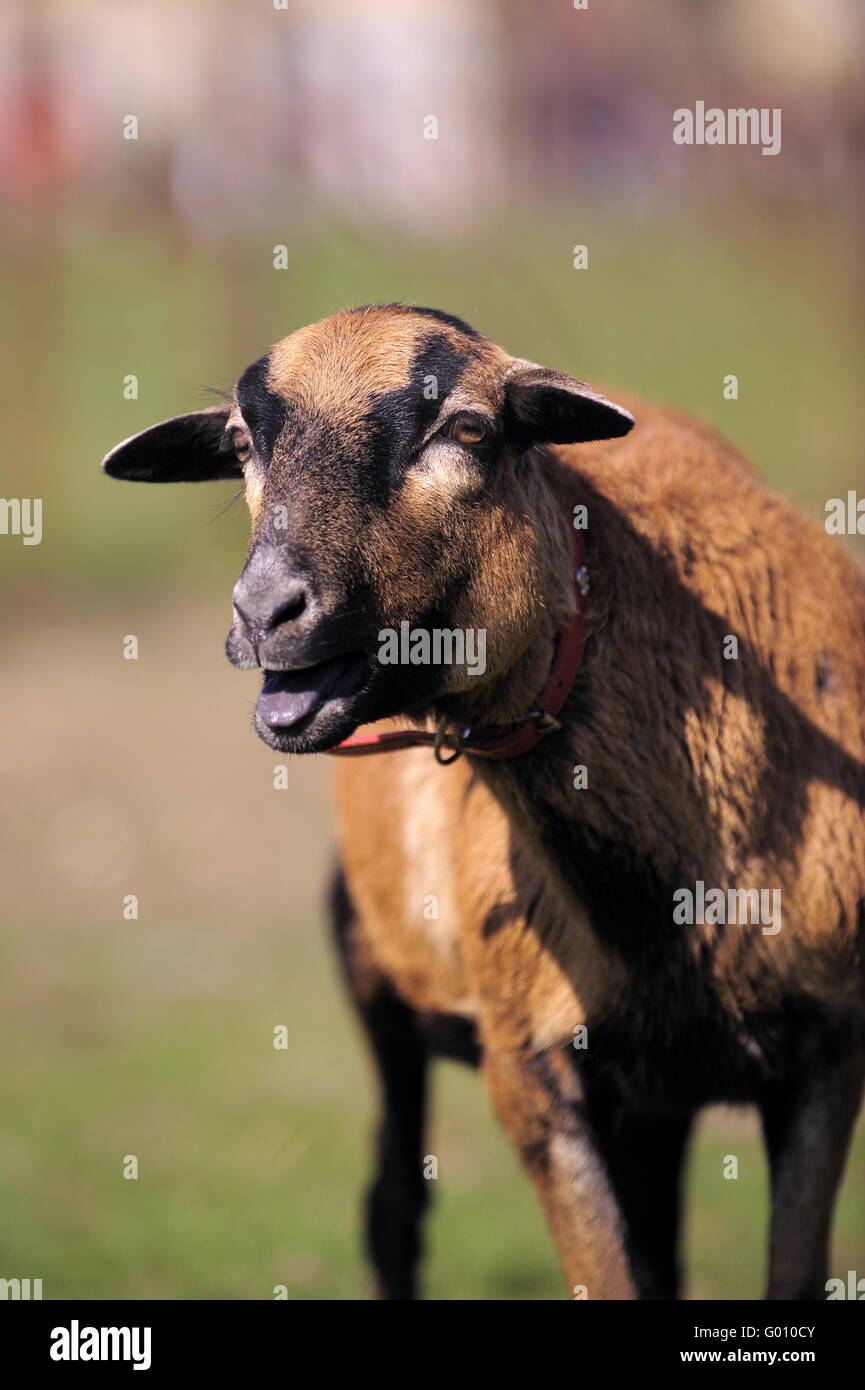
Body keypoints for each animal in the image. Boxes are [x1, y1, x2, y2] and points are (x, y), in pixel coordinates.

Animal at [102, 302, 865, 1300]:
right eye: (239, 443)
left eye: (467, 429)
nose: (265, 614)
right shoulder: (529, 1069)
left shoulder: (827, 1052)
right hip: (374, 971)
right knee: (393, 1207)